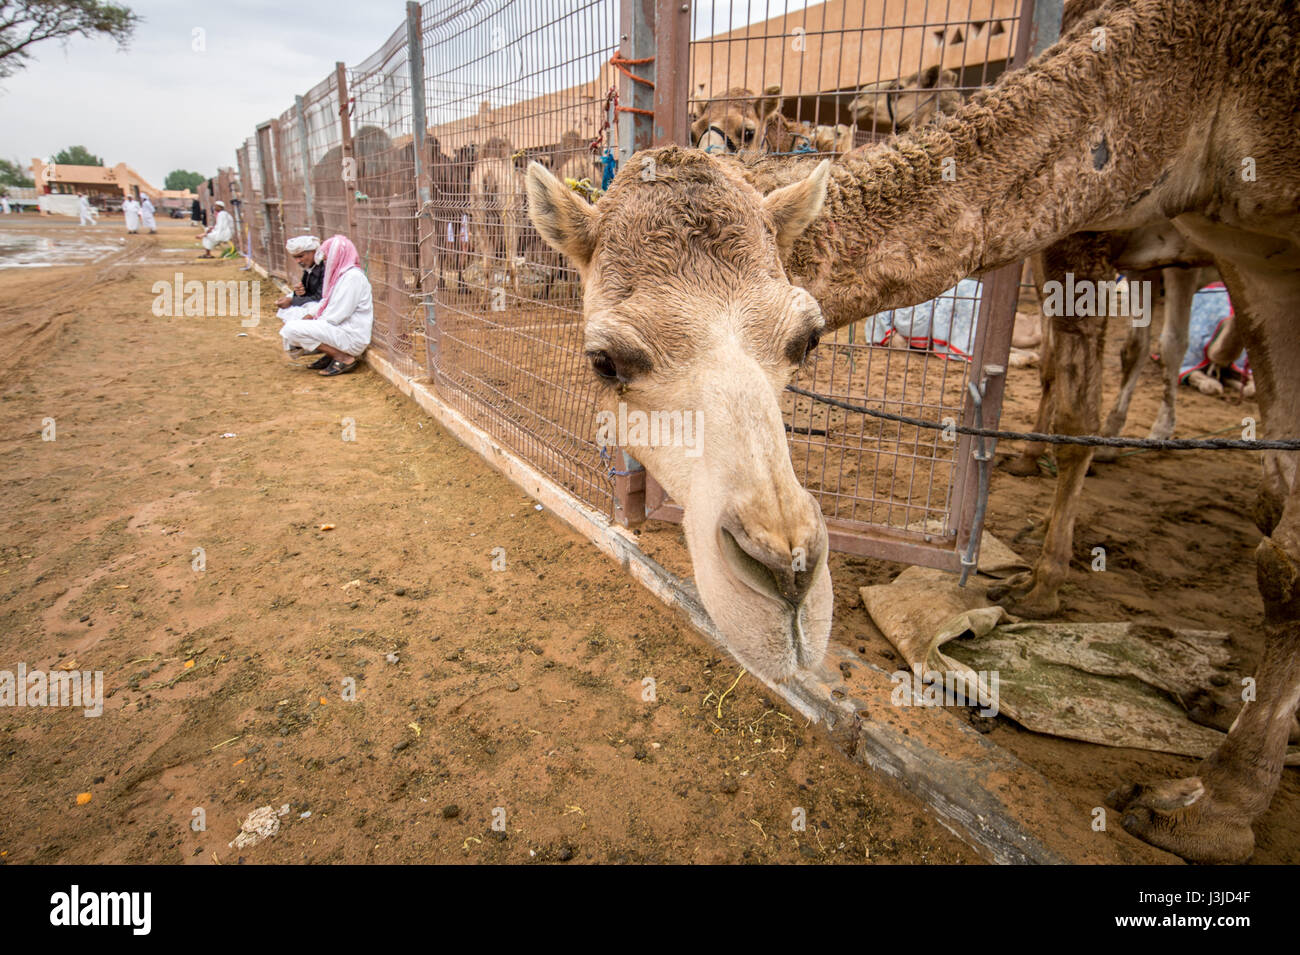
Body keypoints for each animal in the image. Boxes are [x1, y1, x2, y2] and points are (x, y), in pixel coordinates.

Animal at [526, 0, 1300, 863]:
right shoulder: (1249, 252)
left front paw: (1207, 807)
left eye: (807, 339)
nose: (789, 584)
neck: (1206, 76)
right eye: (604, 361)